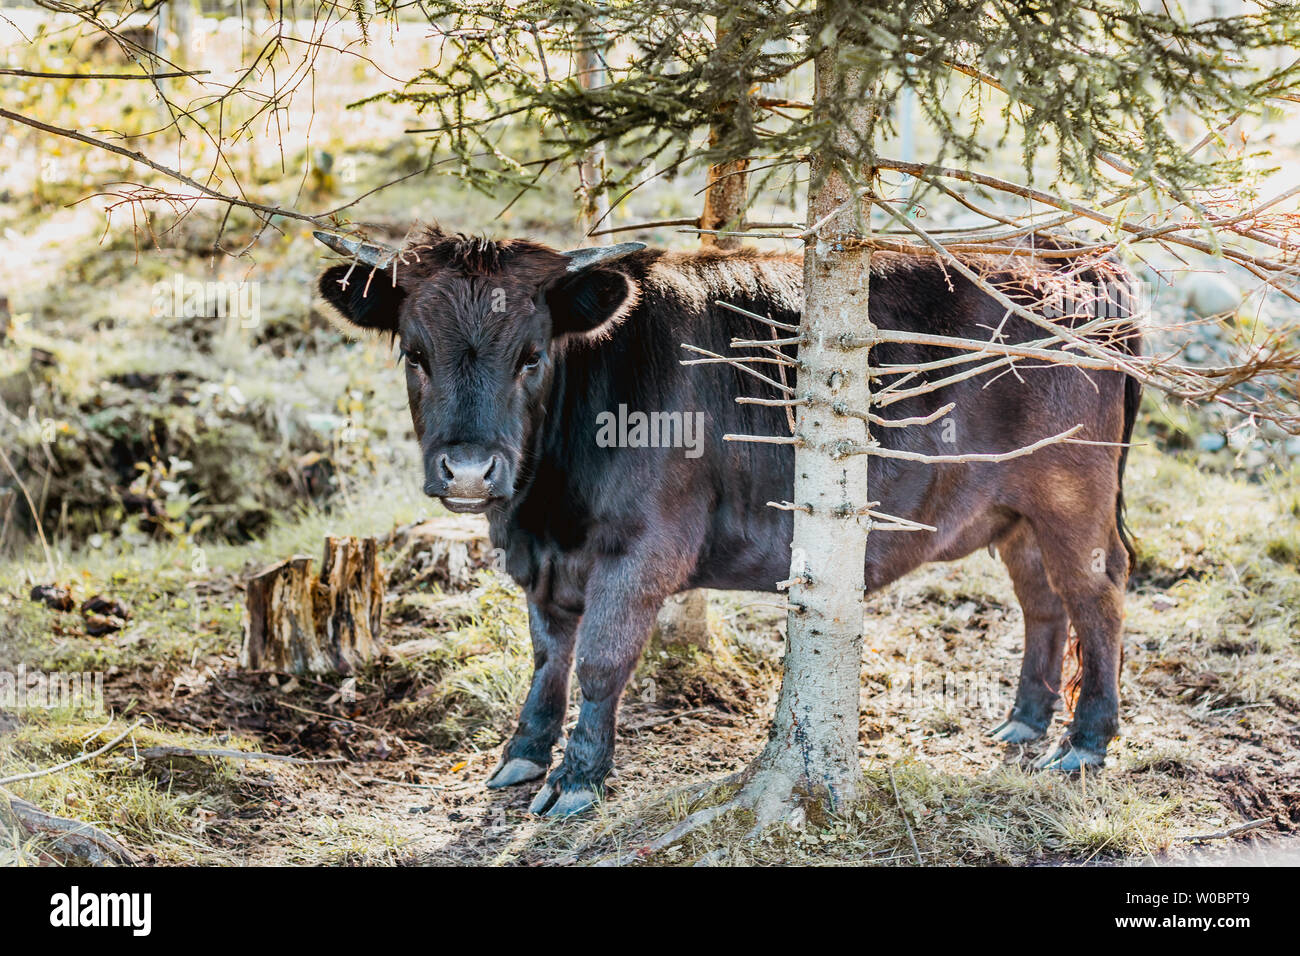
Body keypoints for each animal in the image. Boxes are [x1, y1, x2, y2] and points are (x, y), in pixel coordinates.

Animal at [315, 227, 1140, 817]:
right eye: (415, 354)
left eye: (531, 355)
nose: (468, 470)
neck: (542, 509)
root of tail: (1078, 254)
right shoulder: (542, 561)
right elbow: (548, 655)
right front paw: (523, 753)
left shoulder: (641, 550)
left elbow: (600, 659)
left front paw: (578, 780)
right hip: (1015, 511)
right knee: (1042, 602)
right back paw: (1026, 719)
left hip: (1071, 493)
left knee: (1096, 595)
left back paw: (1086, 740)